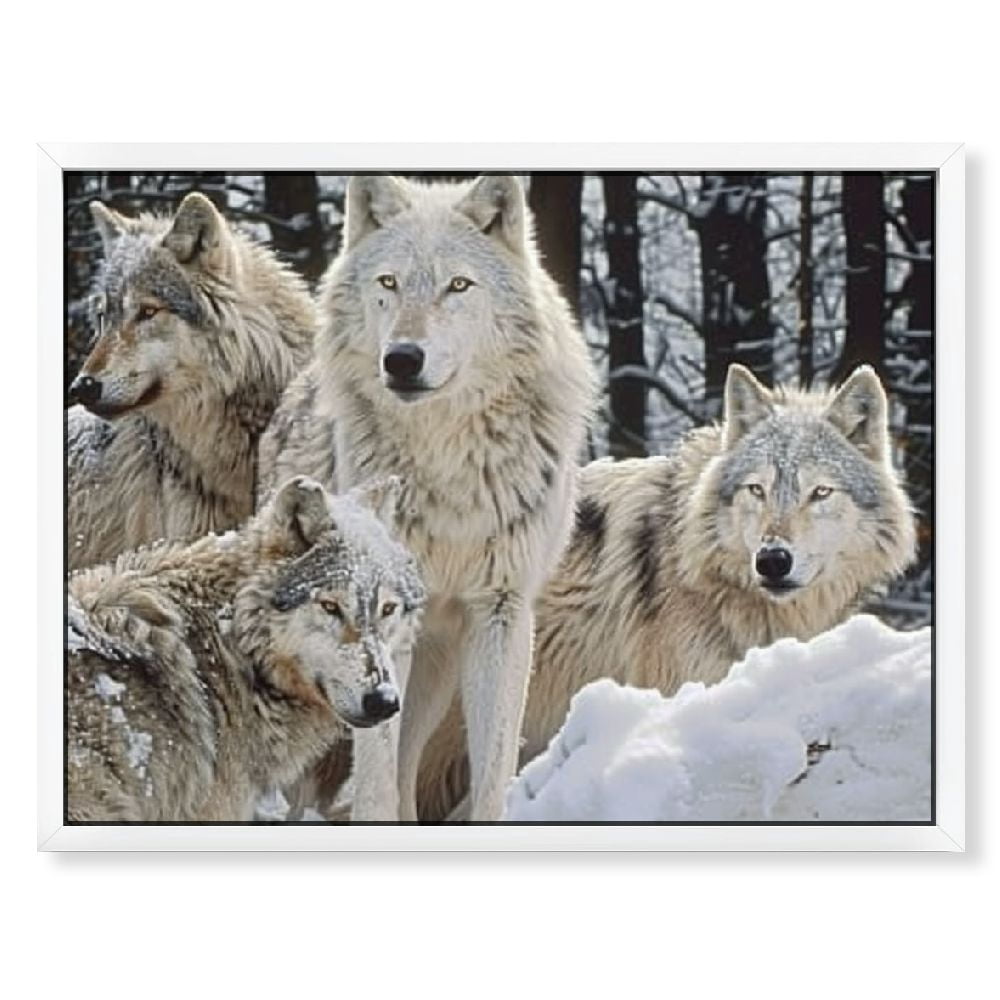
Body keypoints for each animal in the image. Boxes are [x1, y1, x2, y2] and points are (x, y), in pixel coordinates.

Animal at [259, 174, 596, 820]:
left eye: (457, 285)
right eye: (388, 283)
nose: (402, 359)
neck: (451, 462)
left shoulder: (502, 612)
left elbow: (490, 773)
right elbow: (374, 785)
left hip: (433, 675)